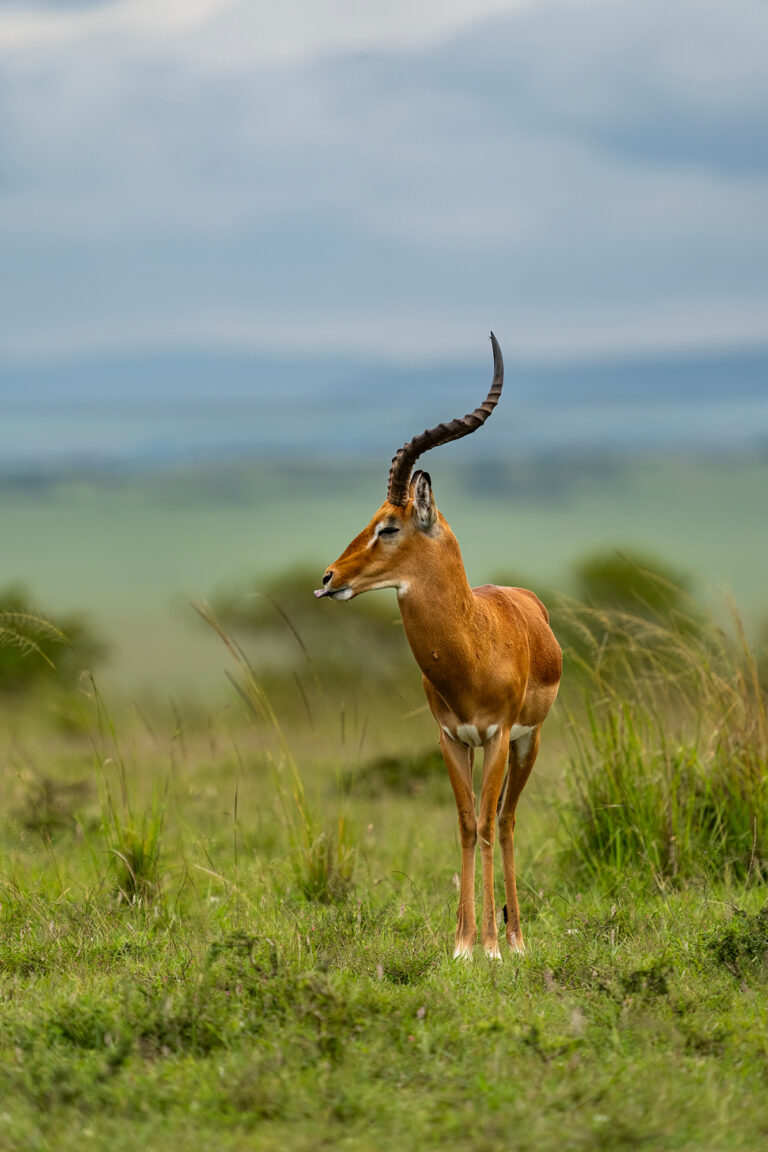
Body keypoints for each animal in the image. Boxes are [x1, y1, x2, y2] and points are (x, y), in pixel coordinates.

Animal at [314, 334, 561, 958]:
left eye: (389, 526)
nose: (329, 578)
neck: (472, 647)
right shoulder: (451, 738)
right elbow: (464, 823)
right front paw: (461, 945)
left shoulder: (495, 735)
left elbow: (487, 824)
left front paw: (491, 948)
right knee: (488, 821)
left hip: (529, 742)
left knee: (507, 822)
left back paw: (517, 939)